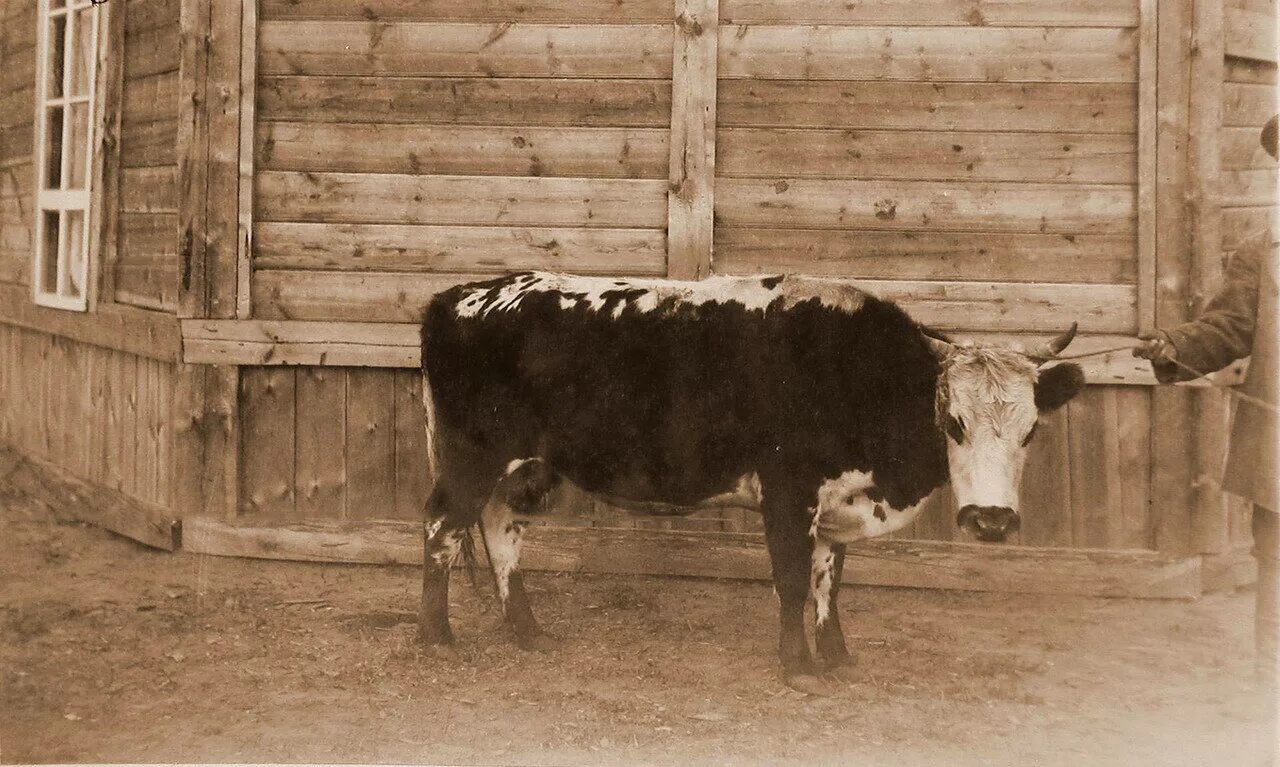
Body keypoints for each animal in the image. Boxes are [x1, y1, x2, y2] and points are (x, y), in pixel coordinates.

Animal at [417, 271, 1085, 694]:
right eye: (953, 422)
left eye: (1030, 430)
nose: (991, 520)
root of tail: (466, 295)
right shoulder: (787, 493)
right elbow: (791, 582)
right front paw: (799, 668)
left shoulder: (837, 502)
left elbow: (828, 582)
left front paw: (837, 656)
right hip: (471, 458)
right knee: (441, 529)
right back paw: (437, 636)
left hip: (520, 467)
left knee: (501, 531)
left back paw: (527, 632)